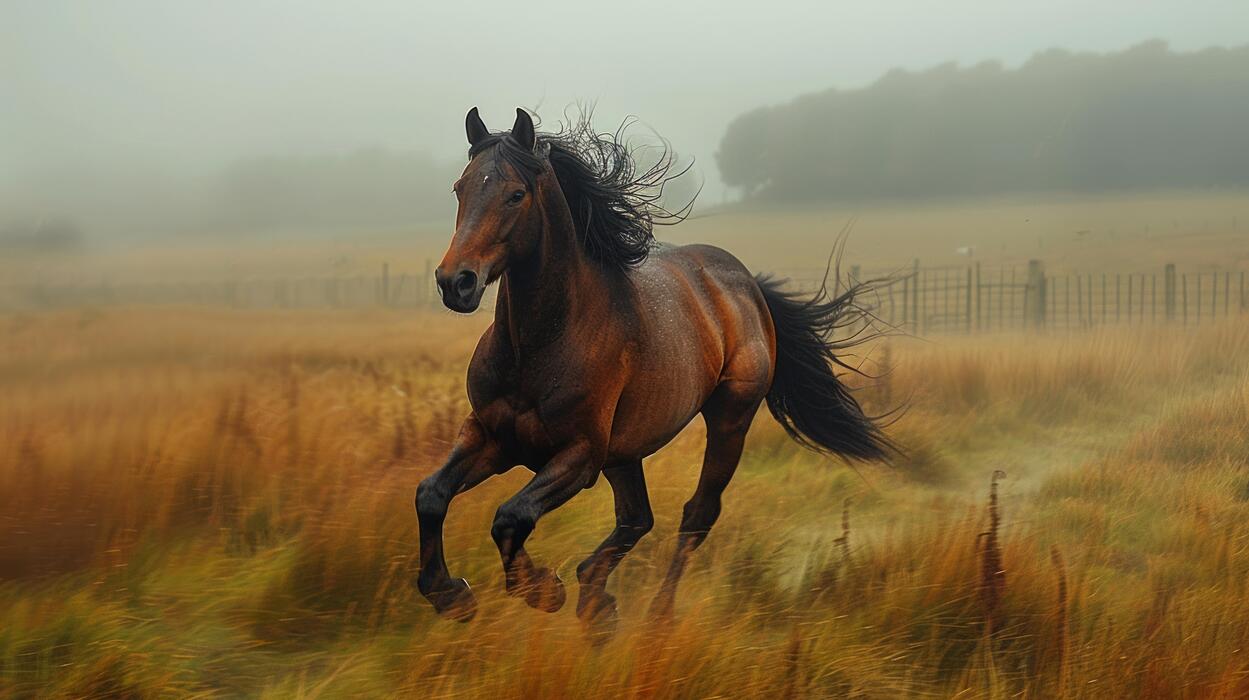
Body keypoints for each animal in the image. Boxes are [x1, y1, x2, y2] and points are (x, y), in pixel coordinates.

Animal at [415, 107, 891, 638]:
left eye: (515, 194)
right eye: (459, 188)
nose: (455, 282)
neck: (540, 346)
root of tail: (747, 284)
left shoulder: (579, 455)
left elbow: (511, 516)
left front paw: (542, 589)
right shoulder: (491, 436)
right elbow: (431, 494)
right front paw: (450, 595)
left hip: (728, 419)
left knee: (696, 514)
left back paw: (654, 617)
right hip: (625, 451)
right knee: (636, 518)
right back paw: (597, 600)